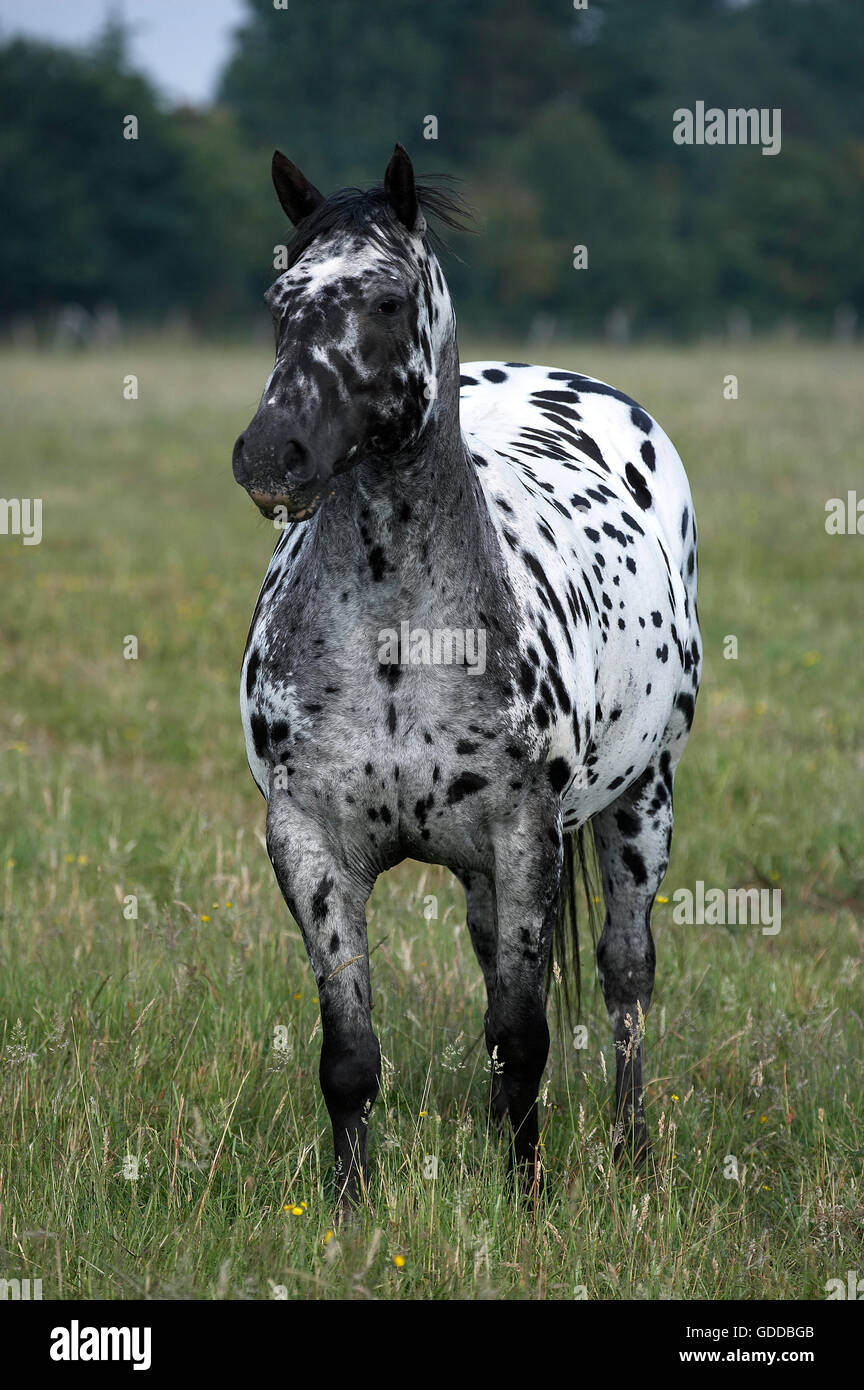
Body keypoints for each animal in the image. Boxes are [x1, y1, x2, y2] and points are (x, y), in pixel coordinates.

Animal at [232, 144, 701, 1208]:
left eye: (388, 299)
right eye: (279, 299)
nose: (272, 454)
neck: (402, 641)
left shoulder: (524, 836)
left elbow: (524, 1038)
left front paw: (525, 1197)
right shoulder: (310, 846)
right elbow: (351, 1055)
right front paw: (350, 1207)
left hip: (642, 800)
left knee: (625, 973)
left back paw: (631, 1148)